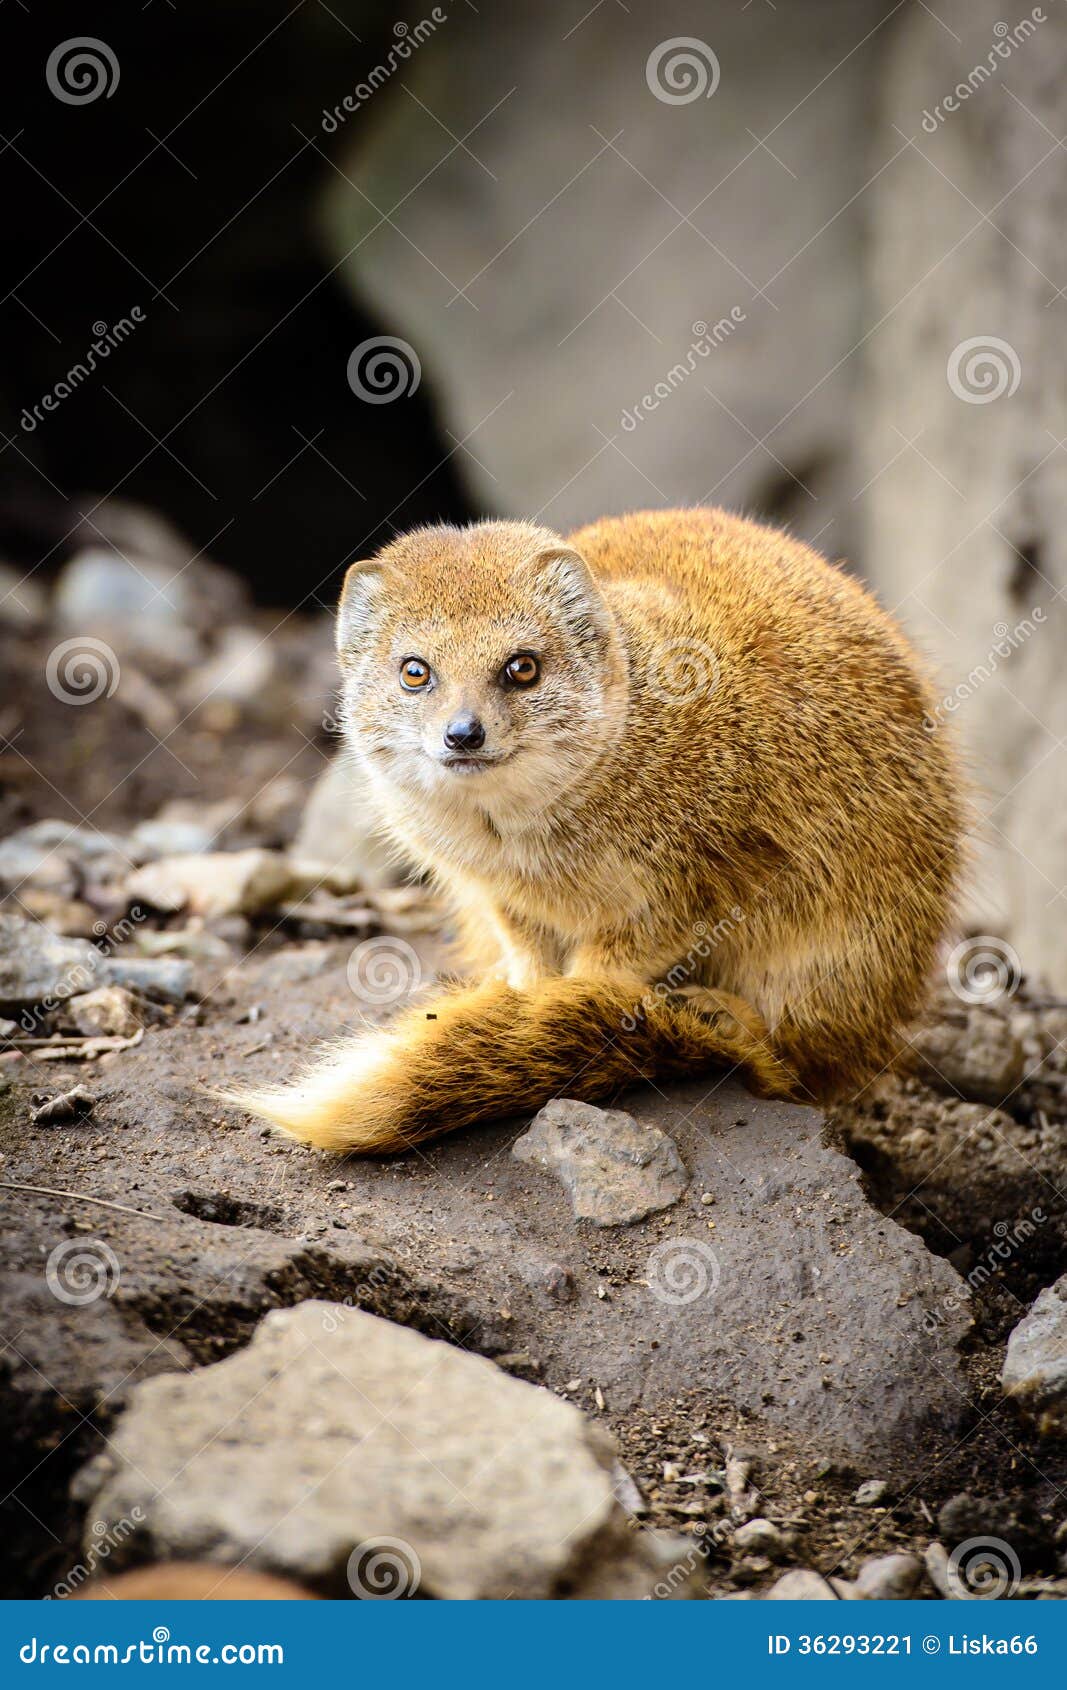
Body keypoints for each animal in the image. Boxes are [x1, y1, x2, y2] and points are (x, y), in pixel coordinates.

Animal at [229, 508, 965, 1154]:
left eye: (522, 666)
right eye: (414, 670)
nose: (463, 733)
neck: (532, 846)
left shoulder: (718, 870)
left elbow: (611, 966)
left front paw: (570, 1004)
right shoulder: (489, 890)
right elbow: (526, 948)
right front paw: (527, 998)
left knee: (792, 1061)